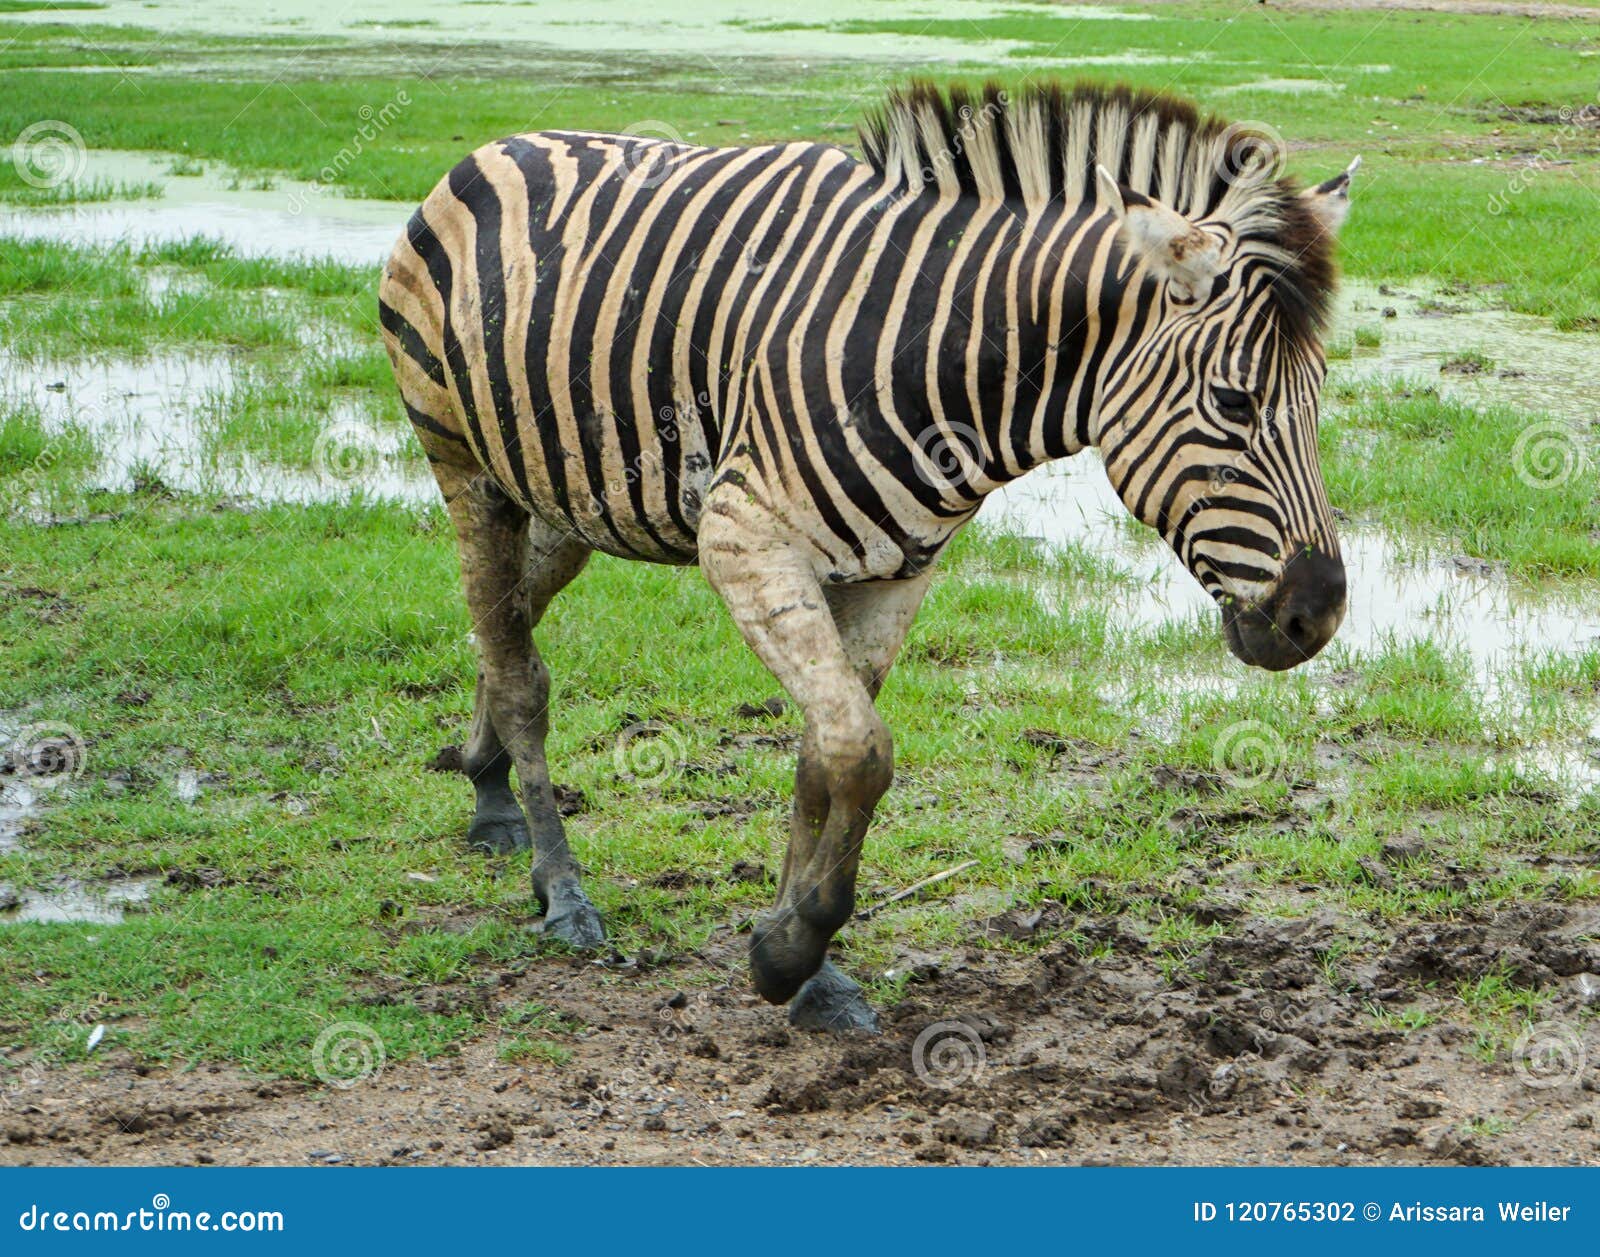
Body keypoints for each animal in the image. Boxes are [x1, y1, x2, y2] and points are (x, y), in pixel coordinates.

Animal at [379, 80, 1356, 1032]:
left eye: (1319, 394)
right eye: (1234, 401)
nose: (1318, 614)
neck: (945, 372)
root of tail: (510, 141)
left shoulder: (897, 572)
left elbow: (825, 756)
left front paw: (805, 965)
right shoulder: (744, 536)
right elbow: (861, 751)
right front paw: (790, 952)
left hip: (567, 496)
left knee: (506, 630)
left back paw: (487, 781)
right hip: (467, 469)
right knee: (518, 670)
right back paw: (560, 886)